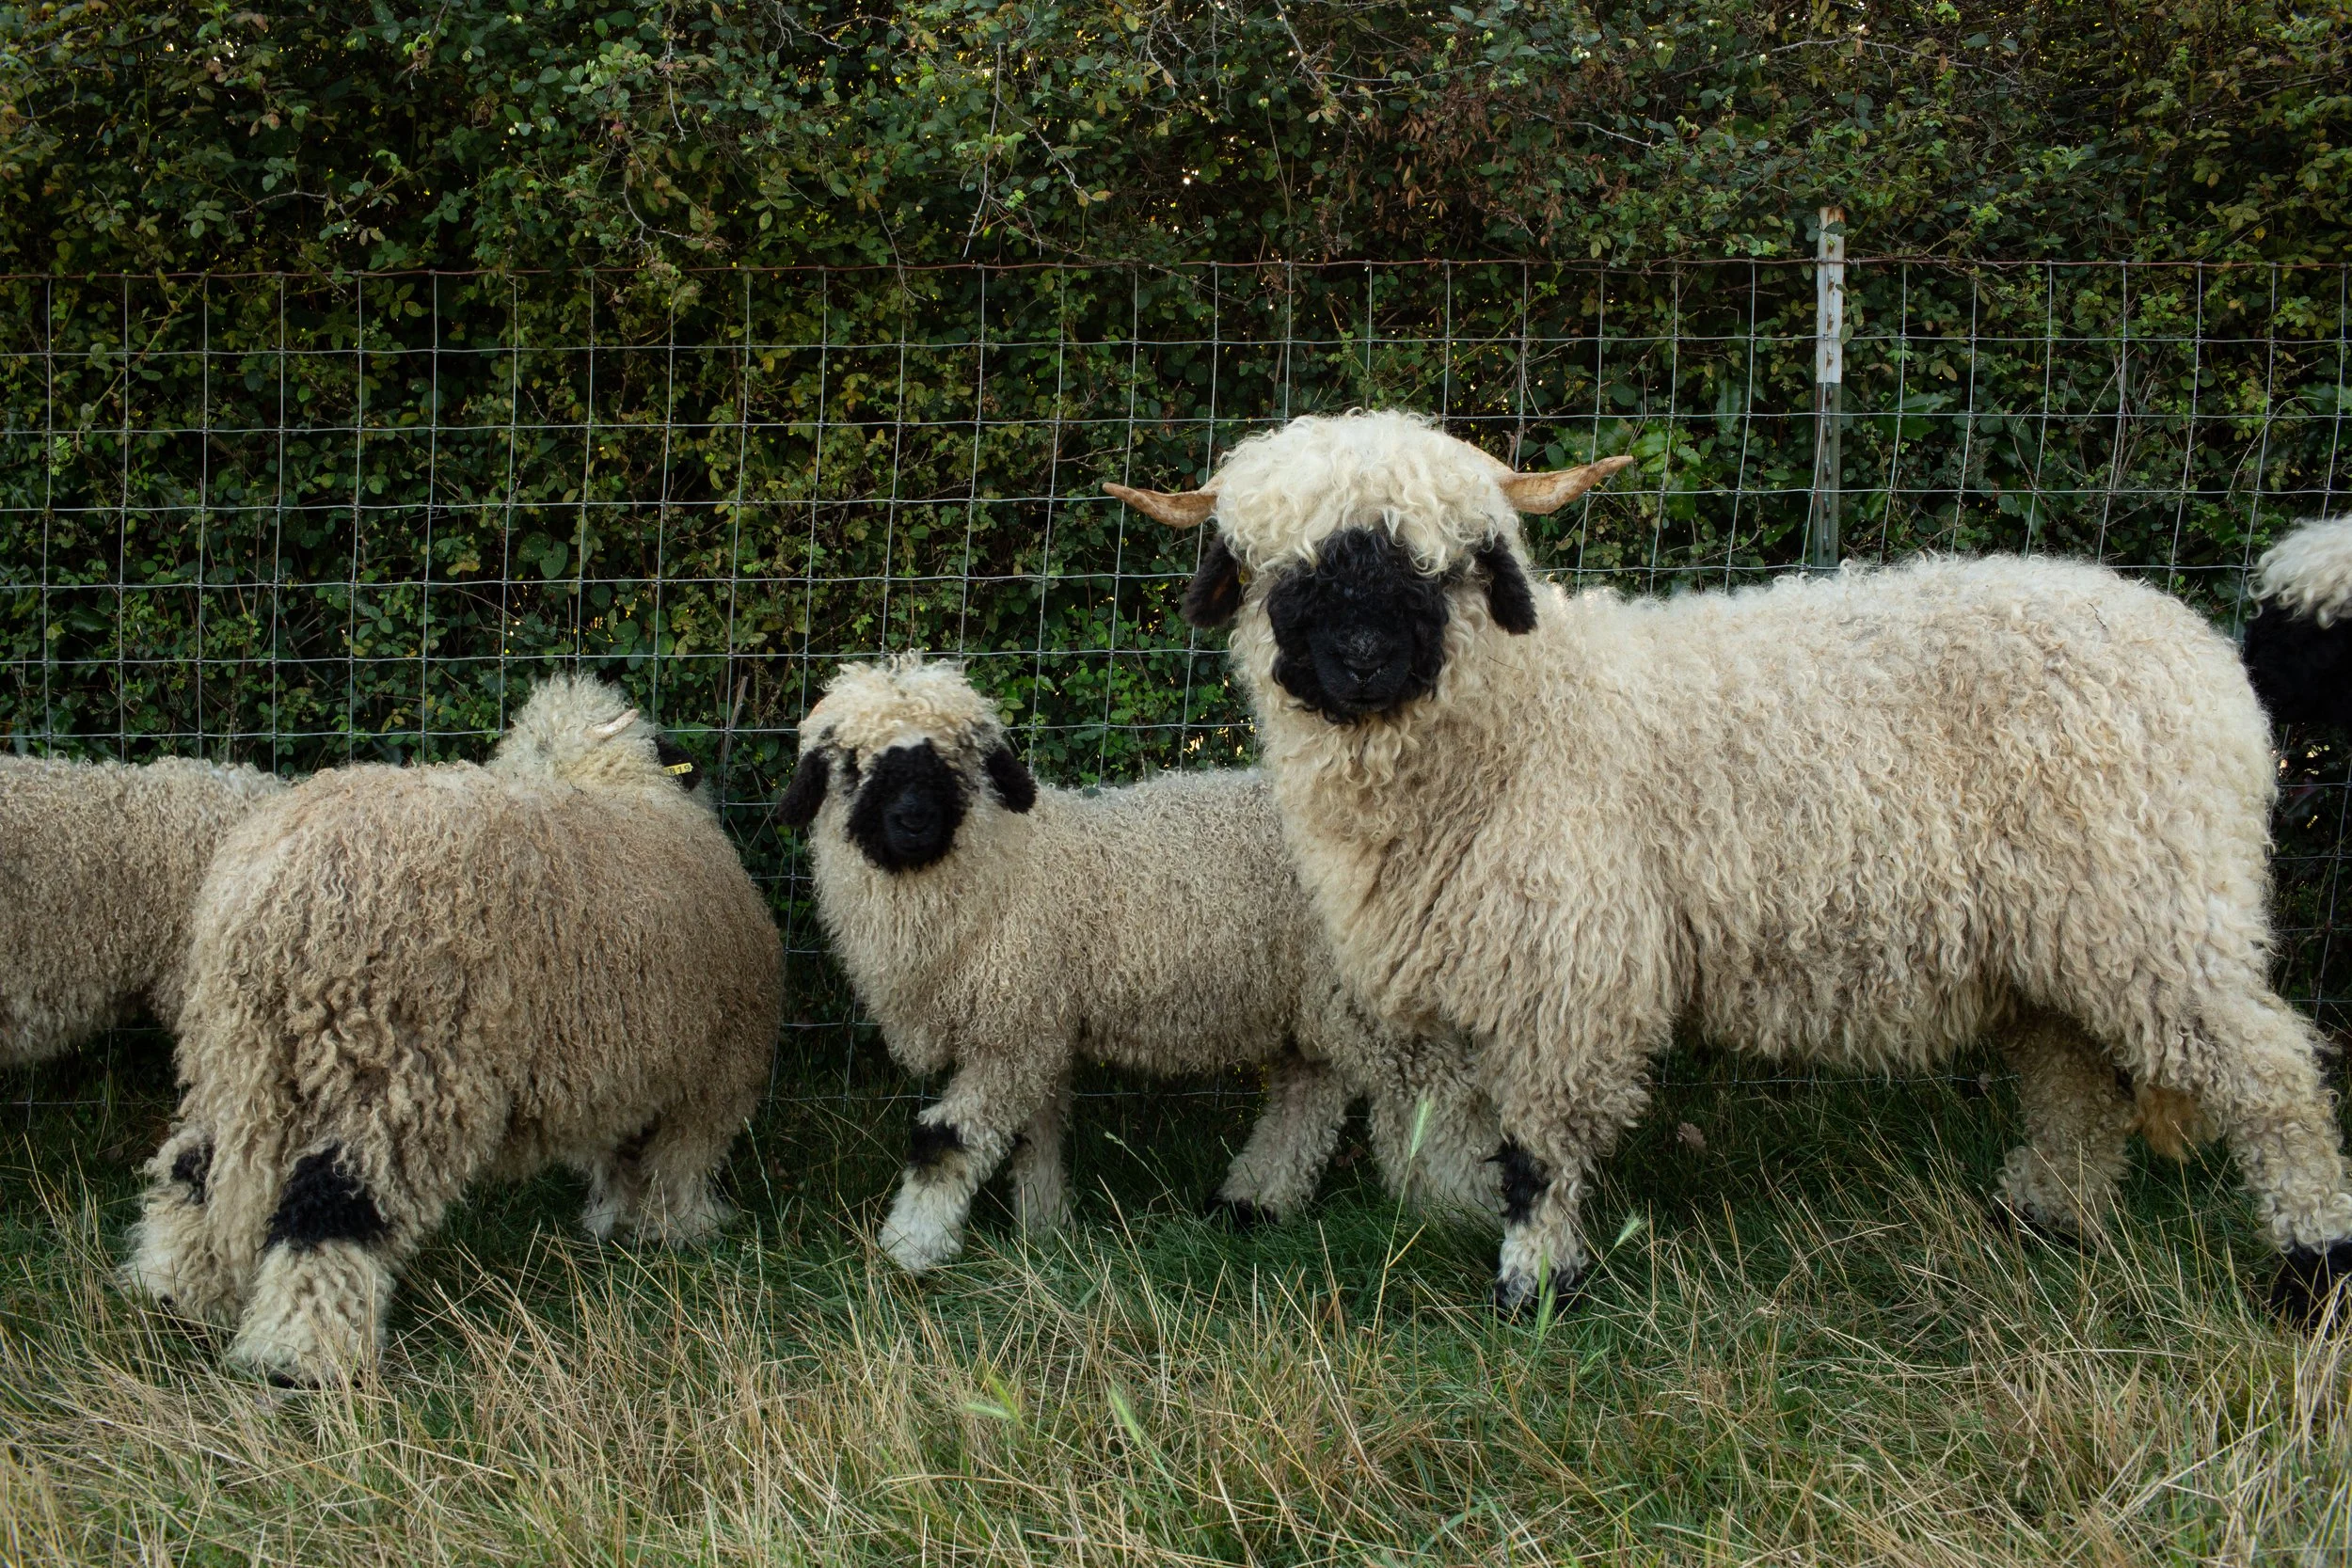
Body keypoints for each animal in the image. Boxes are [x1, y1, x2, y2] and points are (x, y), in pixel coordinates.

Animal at [123, 674, 783, 1383]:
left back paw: (171, 1292)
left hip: (240, 1053)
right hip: (396, 1070)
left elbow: (621, 1156)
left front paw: (616, 1221)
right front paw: (681, 1229)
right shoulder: (715, 1071)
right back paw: (300, 1355)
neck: (620, 789)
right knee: (332, 1205)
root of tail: (277, 897)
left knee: (195, 1166)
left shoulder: (620, 1067)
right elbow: (681, 1161)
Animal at [775, 657, 1499, 1274]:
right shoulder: (1038, 1028)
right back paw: (1252, 1203)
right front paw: (1046, 1229)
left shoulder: (1015, 1028)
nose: (913, 821)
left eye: (957, 757)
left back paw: (1461, 1212)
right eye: (851, 764)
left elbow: (946, 1139)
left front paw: (912, 1244)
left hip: (1371, 996)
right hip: (1315, 994)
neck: (998, 870)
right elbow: (1036, 1135)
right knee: (1310, 1094)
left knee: (1442, 1093)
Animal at [1110, 409, 2352, 1328]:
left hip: (2154, 906)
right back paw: (2044, 1218)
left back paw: (2312, 1266)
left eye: (1450, 565)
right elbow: (1452, 1141)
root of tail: (2212, 658)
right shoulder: (1475, 973)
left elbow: (1537, 1149)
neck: (1527, 715)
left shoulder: (1569, 971)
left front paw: (1532, 1285)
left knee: (2272, 1076)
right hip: (2060, 930)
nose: (1364, 659)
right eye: (1285, 571)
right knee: (2073, 1075)